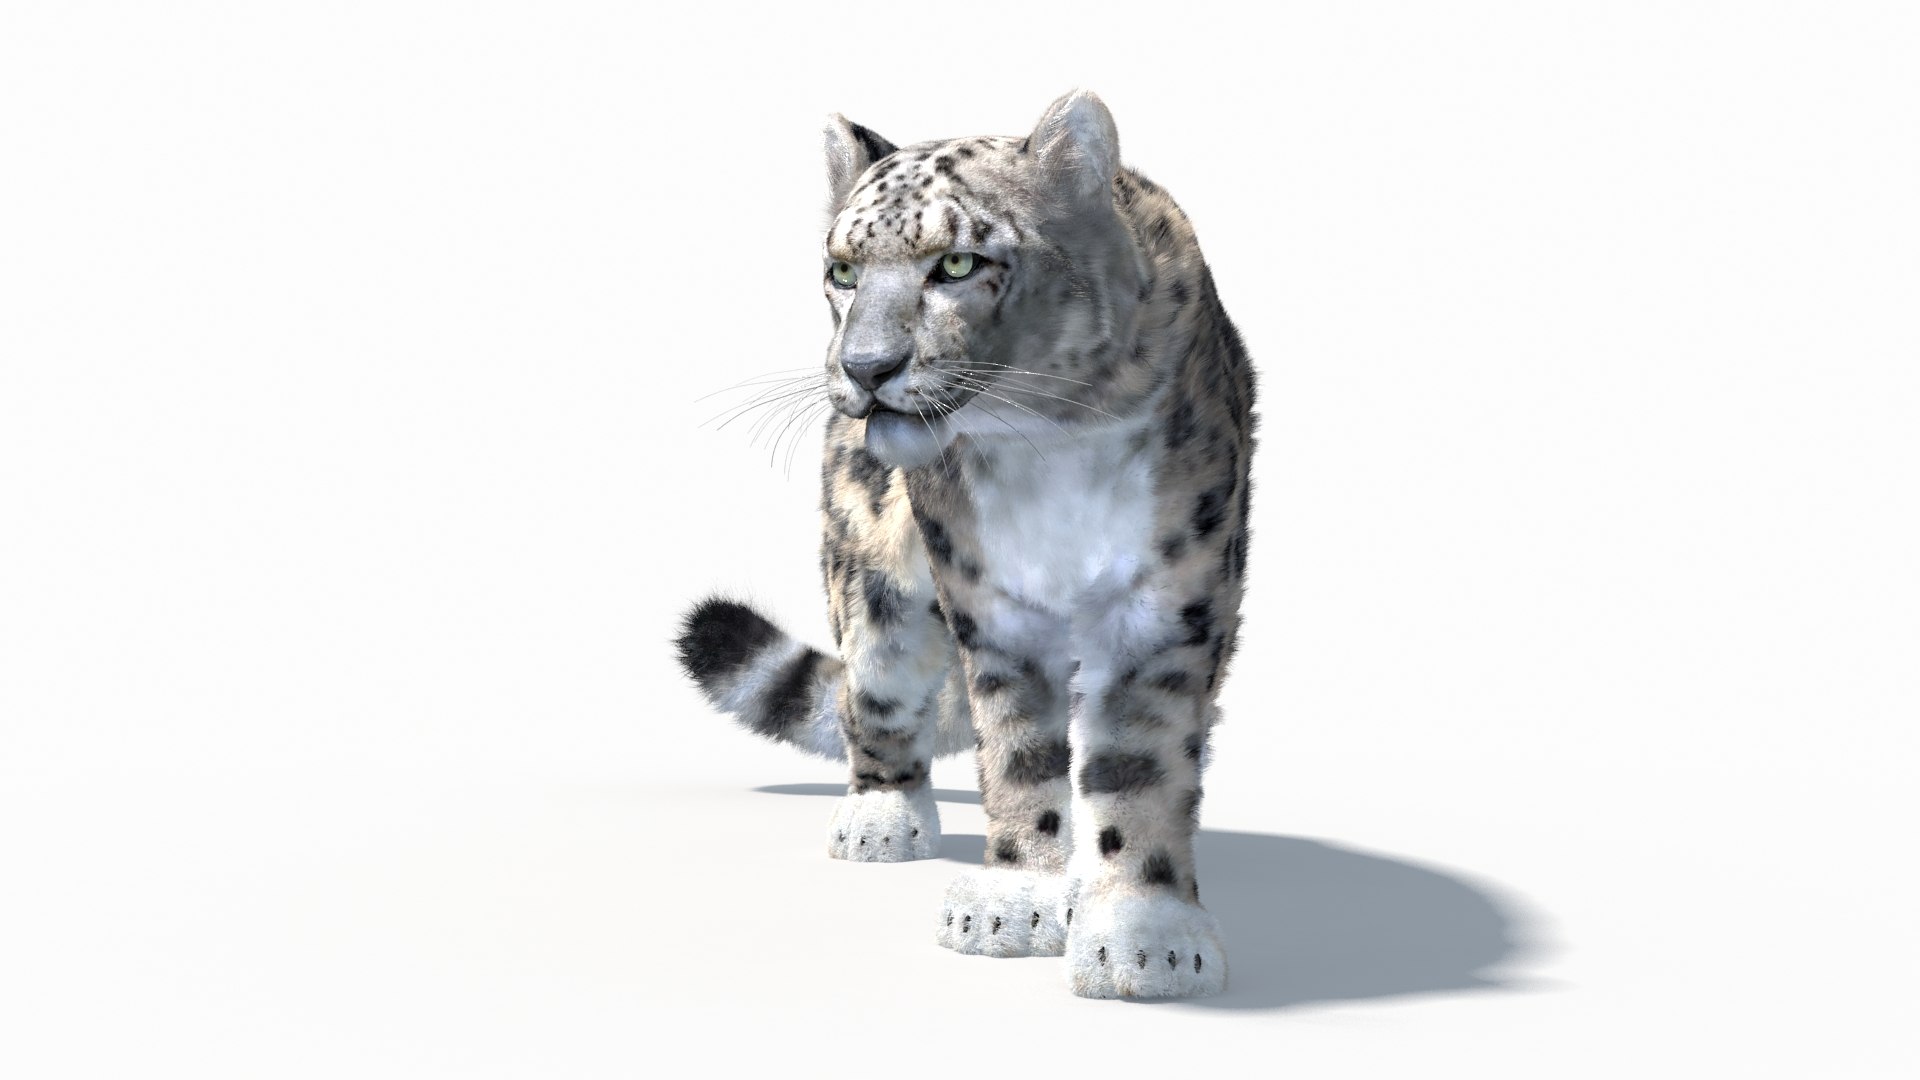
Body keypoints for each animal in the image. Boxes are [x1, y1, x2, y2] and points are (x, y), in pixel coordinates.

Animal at [674, 91, 1256, 999]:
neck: (1047, 444)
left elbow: (1141, 766)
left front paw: (1145, 935)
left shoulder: (1165, 604)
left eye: (955, 264)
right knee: (874, 696)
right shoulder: (991, 605)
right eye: (843, 271)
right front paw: (1013, 900)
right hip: (872, 579)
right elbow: (1017, 750)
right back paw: (878, 815)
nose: (865, 368)